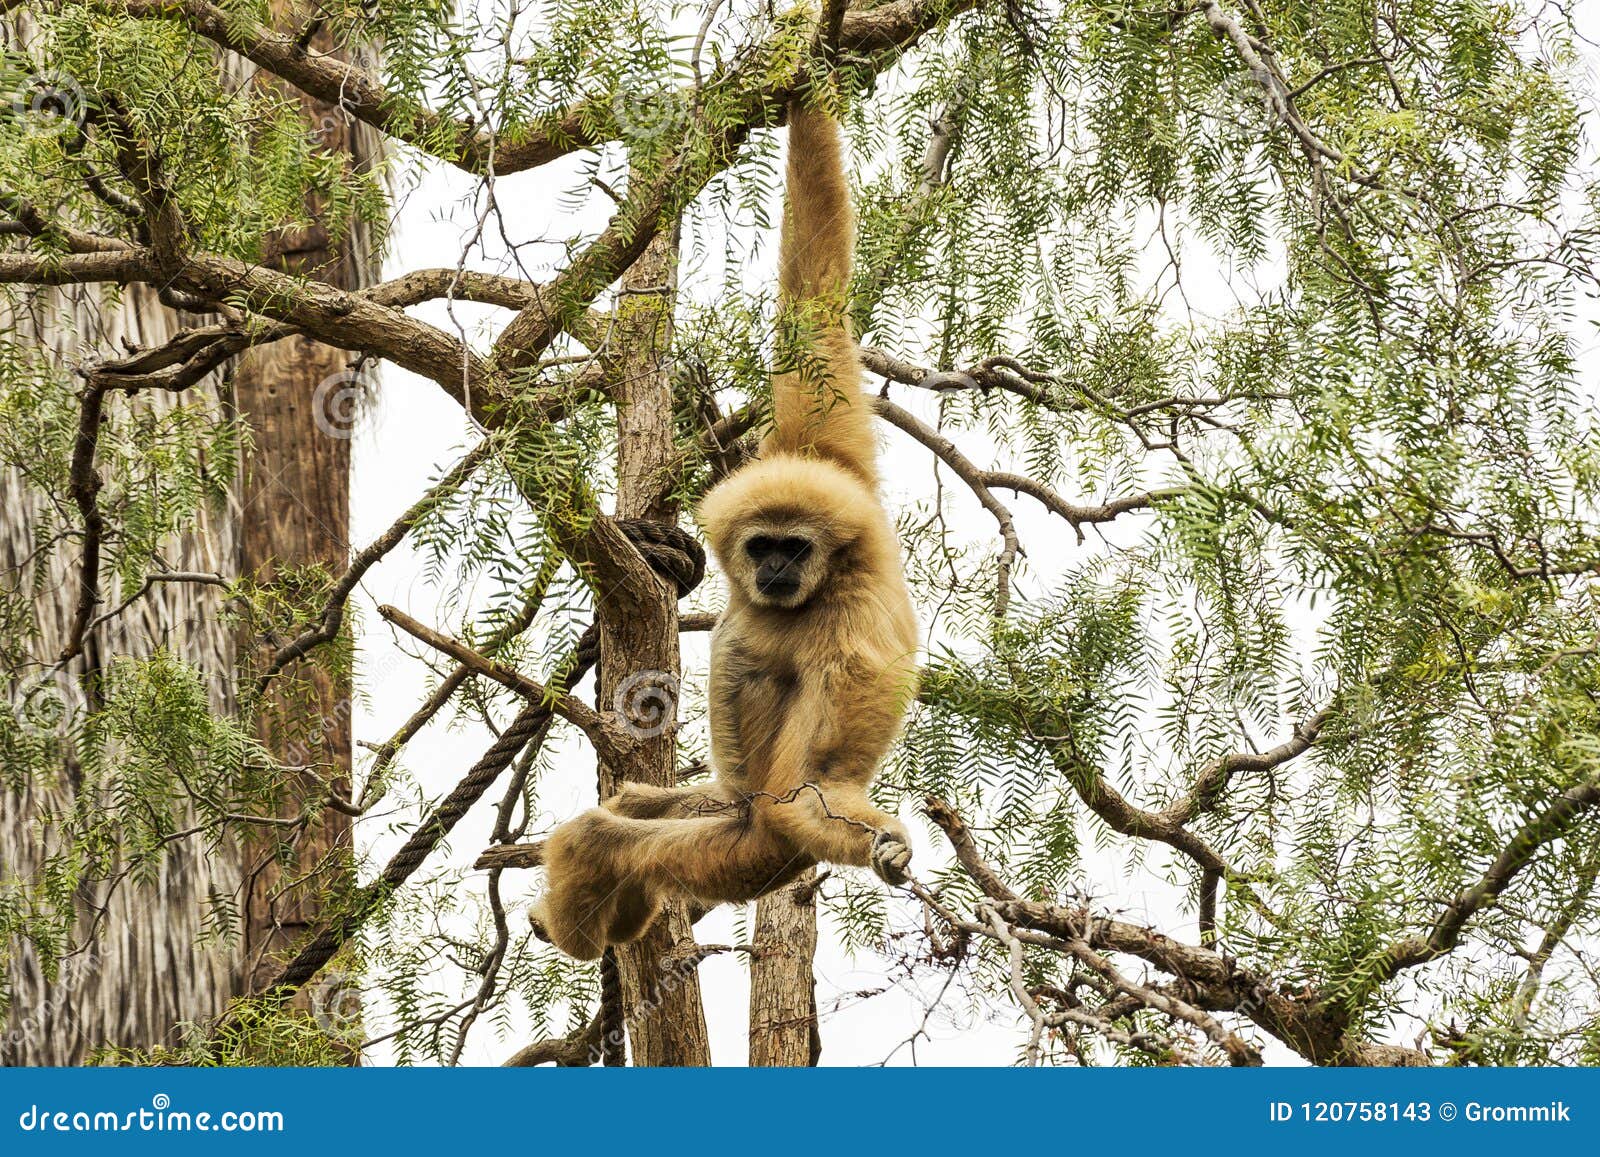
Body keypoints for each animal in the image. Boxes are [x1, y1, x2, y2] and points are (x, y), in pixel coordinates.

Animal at [532, 96, 919, 961]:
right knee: (653, 805)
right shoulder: (833, 454)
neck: (836, 573)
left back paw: (587, 909)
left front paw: (884, 841)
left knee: (626, 836)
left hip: (756, 844)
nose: (774, 572)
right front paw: (806, 80)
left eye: (795, 547)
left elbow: (823, 787)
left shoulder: (854, 634)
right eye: (761, 545)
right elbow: (815, 303)